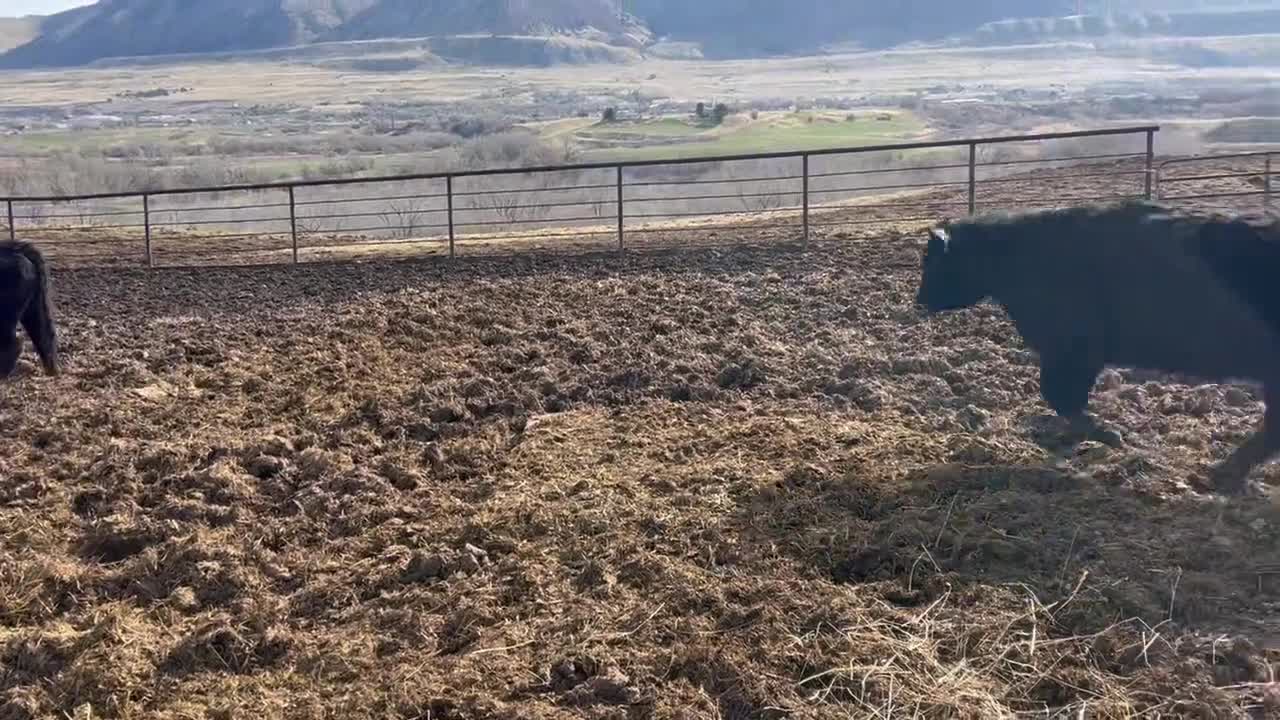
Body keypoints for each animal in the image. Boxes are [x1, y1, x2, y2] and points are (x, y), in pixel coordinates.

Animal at [915, 200, 1280, 496]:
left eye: (931, 261)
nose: (919, 300)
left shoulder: (1074, 347)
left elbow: (1059, 394)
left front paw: (1111, 435)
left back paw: (1216, 475)